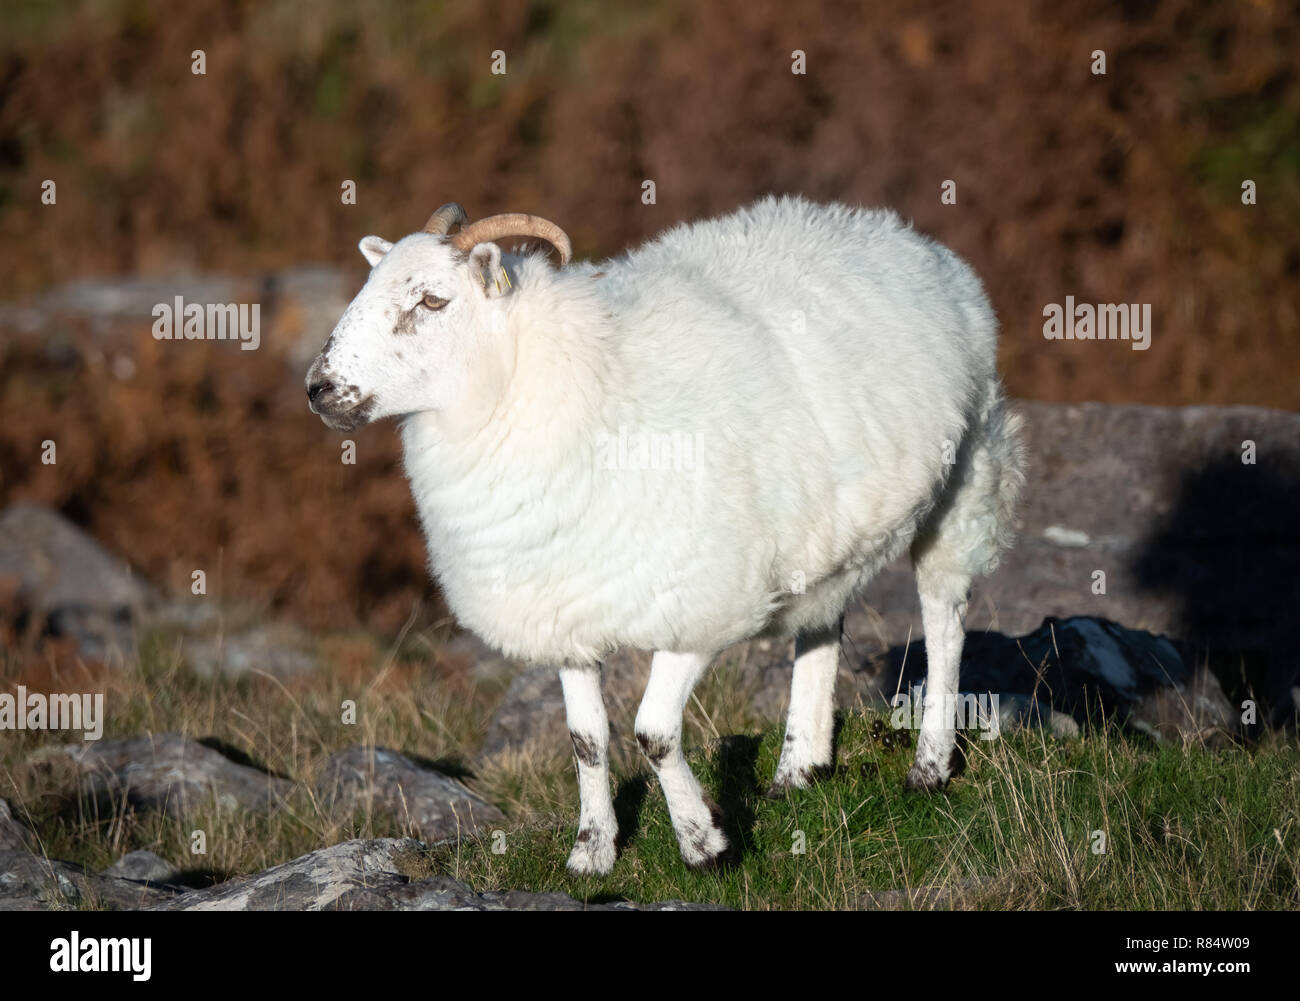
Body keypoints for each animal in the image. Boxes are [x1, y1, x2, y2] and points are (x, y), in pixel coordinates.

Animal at [306, 196, 1026, 874]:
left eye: (433, 300)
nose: (319, 388)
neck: (552, 380)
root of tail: (902, 233)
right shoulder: (565, 608)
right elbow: (586, 739)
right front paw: (593, 850)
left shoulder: (697, 608)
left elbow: (652, 732)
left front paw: (705, 846)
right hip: (820, 536)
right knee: (822, 625)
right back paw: (798, 771)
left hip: (966, 475)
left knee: (944, 618)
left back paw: (929, 765)